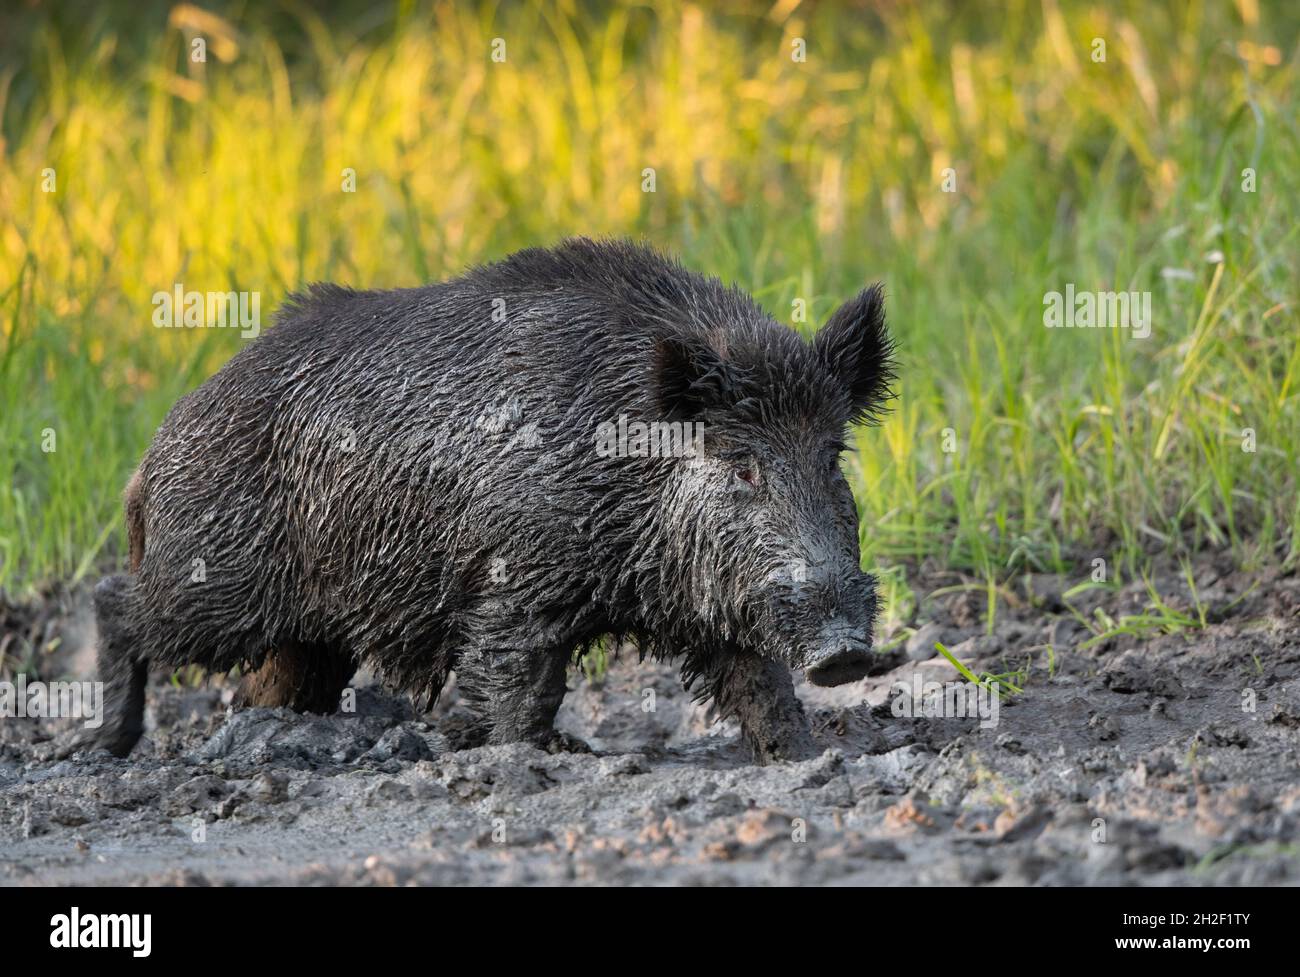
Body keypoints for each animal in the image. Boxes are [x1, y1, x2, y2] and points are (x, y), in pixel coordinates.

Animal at [77, 238, 895, 764]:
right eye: (741, 464)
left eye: (833, 455)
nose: (847, 655)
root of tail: (148, 460)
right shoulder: (515, 583)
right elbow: (518, 685)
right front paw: (523, 756)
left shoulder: (708, 603)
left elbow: (760, 684)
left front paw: (803, 756)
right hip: (211, 579)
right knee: (117, 603)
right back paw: (107, 745)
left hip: (309, 626)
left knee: (273, 686)